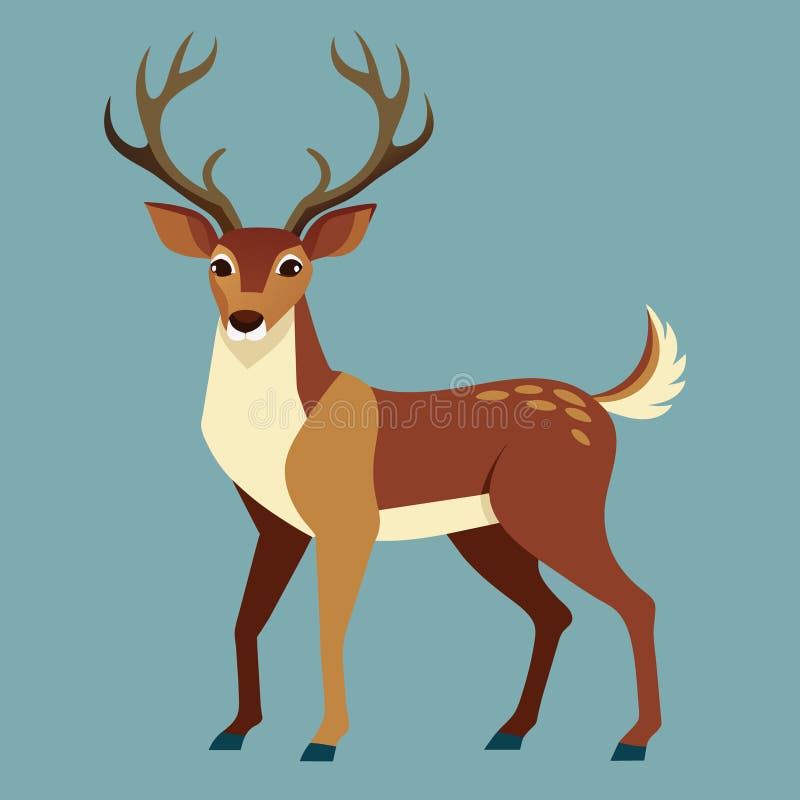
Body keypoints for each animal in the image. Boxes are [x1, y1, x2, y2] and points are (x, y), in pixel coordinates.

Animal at [105, 34, 685, 763]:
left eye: (295, 264)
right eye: (219, 263)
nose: (245, 318)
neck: (285, 433)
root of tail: (600, 405)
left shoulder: (348, 522)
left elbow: (328, 626)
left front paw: (323, 742)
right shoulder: (274, 524)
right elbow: (245, 620)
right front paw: (234, 730)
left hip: (556, 510)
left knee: (637, 600)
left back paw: (633, 740)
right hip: (487, 530)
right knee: (557, 611)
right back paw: (510, 731)